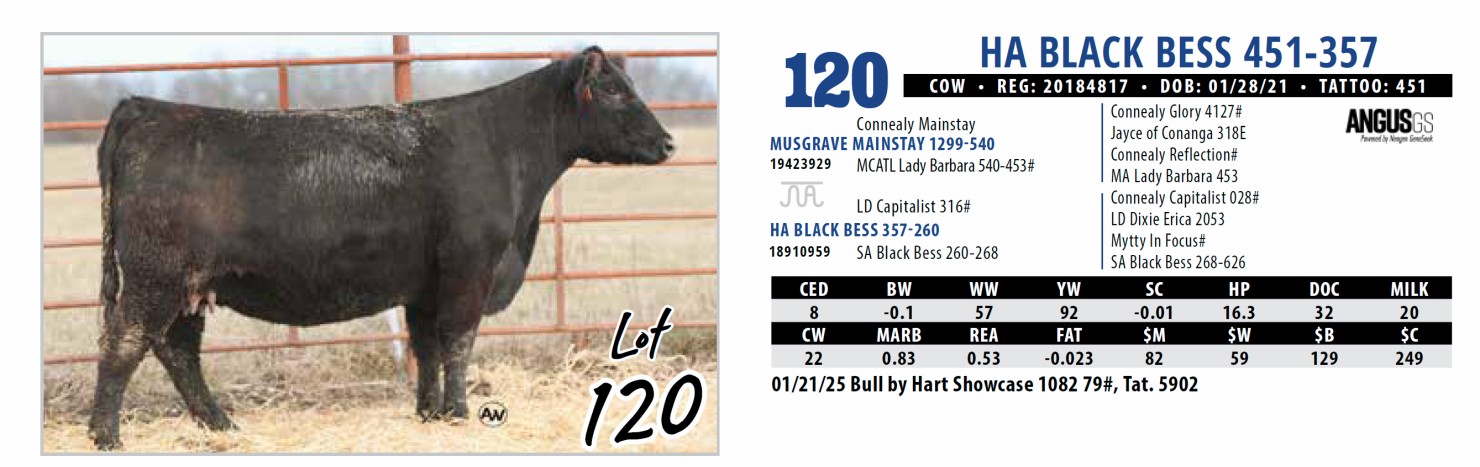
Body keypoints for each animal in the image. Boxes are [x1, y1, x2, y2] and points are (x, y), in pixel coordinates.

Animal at [85, 46, 672, 450]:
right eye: (614, 91)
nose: (667, 142)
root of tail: (146, 108)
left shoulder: (425, 282)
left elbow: (427, 345)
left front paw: (431, 414)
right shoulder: (471, 266)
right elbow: (459, 340)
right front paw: (460, 414)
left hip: (190, 285)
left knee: (177, 351)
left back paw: (222, 425)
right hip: (156, 276)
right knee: (124, 343)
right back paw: (106, 436)